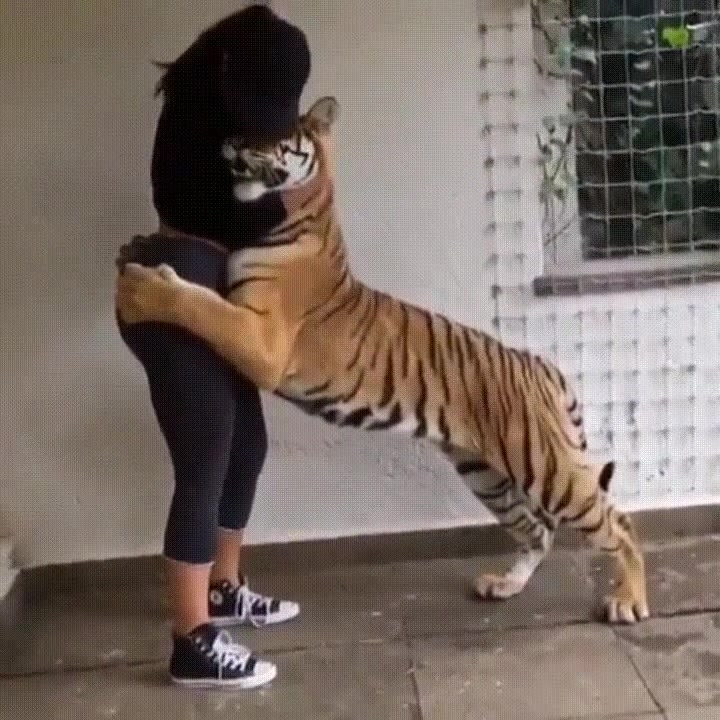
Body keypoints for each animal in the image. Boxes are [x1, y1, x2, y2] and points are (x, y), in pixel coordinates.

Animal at [115, 95, 649, 624]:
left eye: (270, 130)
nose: (229, 141)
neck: (295, 210)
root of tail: (540, 365)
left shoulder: (262, 338)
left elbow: (197, 304)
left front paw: (142, 288)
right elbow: (203, 297)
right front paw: (137, 250)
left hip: (546, 468)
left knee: (618, 521)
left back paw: (628, 600)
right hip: (486, 474)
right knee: (537, 529)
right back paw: (505, 584)